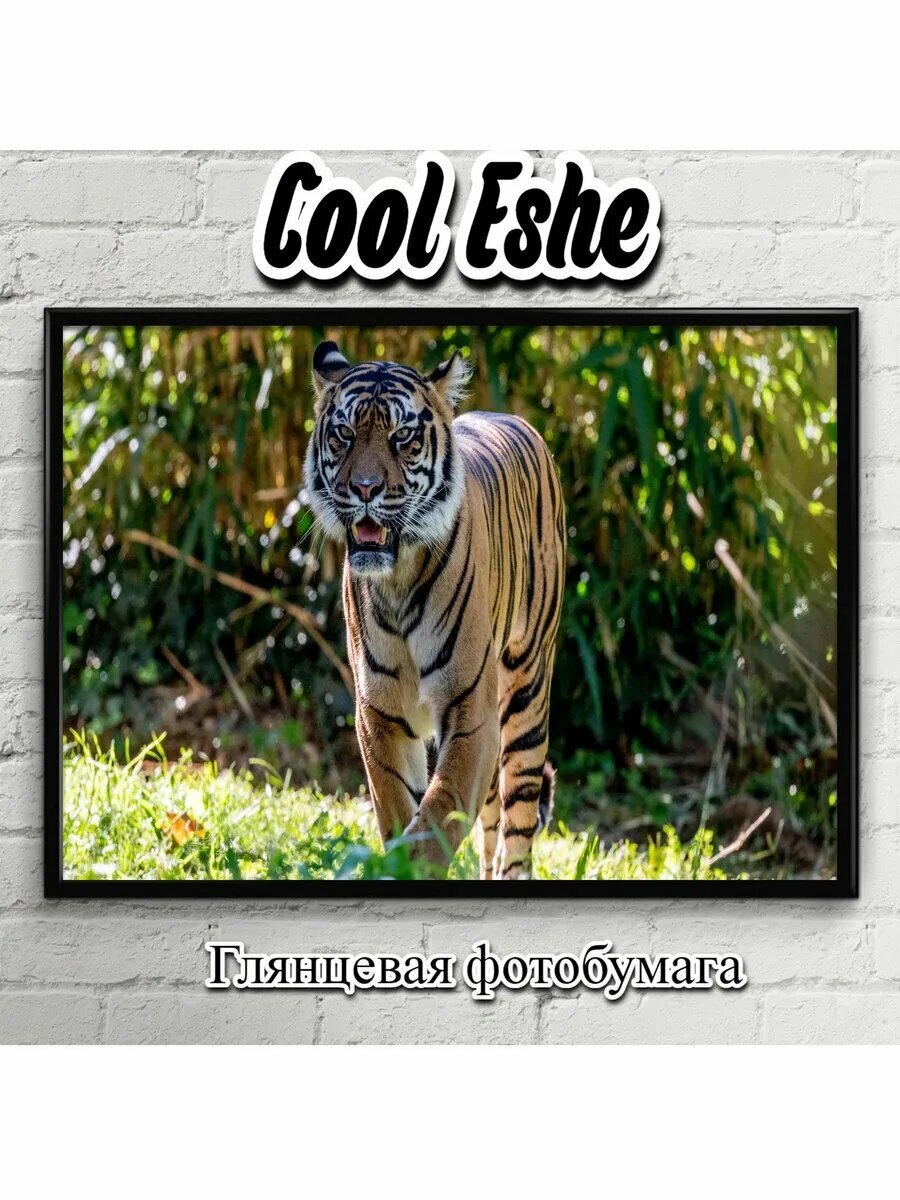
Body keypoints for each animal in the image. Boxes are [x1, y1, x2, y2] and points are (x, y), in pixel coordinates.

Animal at [304, 340, 566, 880]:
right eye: (344, 434)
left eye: (401, 436)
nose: (364, 489)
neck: (398, 581)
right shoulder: (379, 713)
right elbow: (399, 807)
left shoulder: (472, 713)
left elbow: (440, 812)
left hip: (526, 694)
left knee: (517, 824)